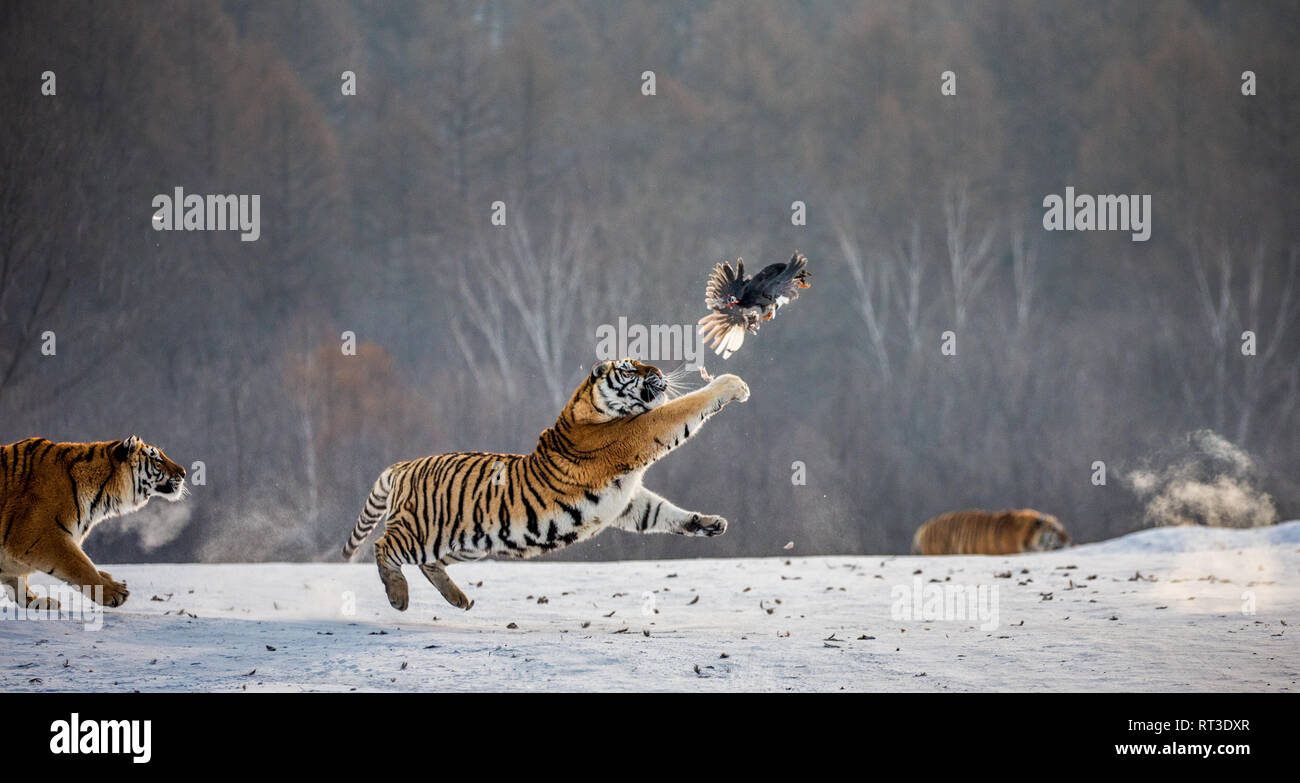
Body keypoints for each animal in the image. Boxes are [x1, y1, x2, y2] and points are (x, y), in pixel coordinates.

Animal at [0, 436, 187, 609]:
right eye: (157, 460)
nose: (184, 473)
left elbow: (18, 583)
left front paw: (37, 602)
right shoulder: (39, 536)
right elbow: (80, 565)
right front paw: (113, 591)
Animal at [343, 358, 750, 612]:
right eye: (630, 368)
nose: (660, 370)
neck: (594, 412)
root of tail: (404, 465)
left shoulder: (627, 501)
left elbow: (662, 513)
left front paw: (710, 523)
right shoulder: (638, 434)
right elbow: (684, 408)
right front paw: (733, 384)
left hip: (466, 542)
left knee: (429, 565)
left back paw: (459, 599)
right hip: (421, 532)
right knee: (382, 545)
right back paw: (397, 597)